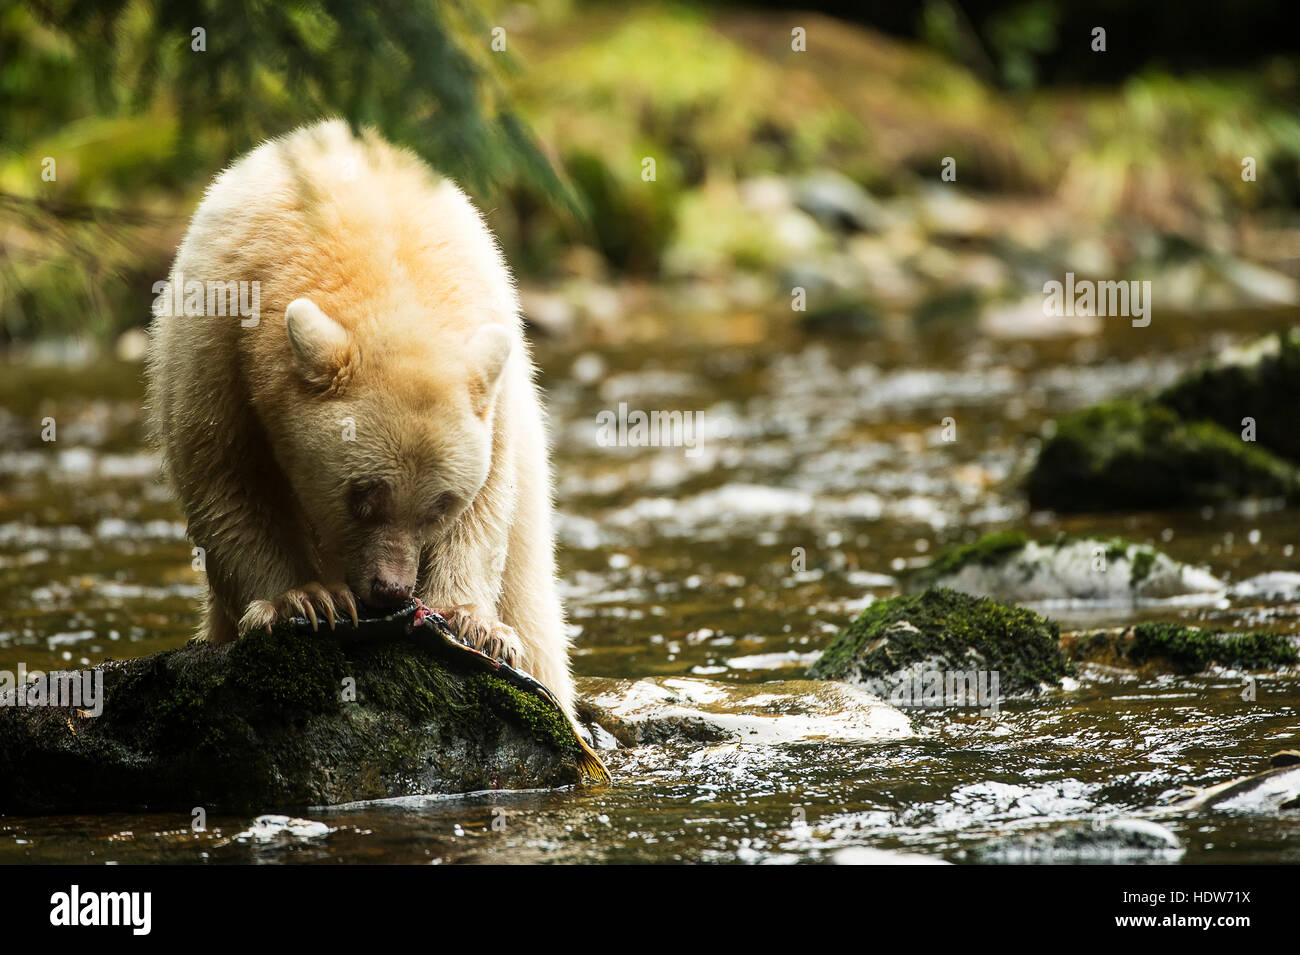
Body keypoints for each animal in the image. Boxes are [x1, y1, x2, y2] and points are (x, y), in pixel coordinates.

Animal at [145, 119, 575, 716]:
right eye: (362, 497)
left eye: (439, 507)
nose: (392, 590)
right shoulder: (218, 336)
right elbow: (224, 478)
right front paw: (304, 600)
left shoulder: (498, 380)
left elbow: (490, 499)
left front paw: (472, 624)